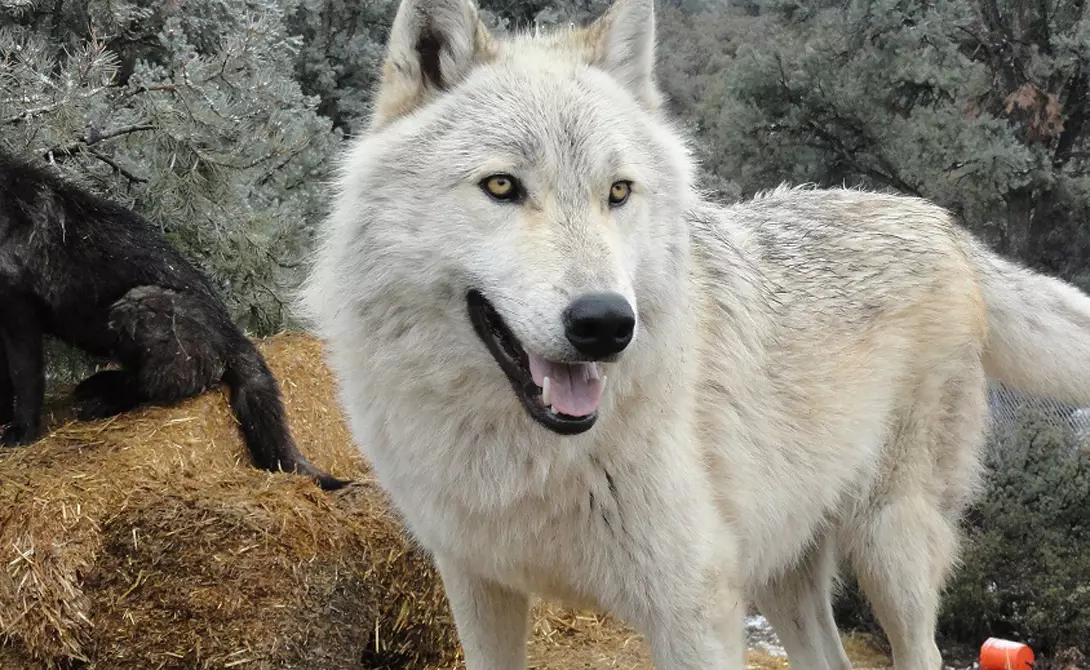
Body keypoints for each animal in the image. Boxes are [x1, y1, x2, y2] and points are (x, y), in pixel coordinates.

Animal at [0, 152, 346, 490]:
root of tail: (232, 334)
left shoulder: (19, 316)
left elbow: (25, 380)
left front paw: (21, 432)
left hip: (137, 303)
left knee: (163, 382)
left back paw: (107, 400)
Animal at [298, 1, 1090, 670]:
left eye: (618, 192)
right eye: (501, 187)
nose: (606, 324)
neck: (529, 460)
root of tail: (942, 223)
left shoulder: (695, 611)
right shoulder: (477, 587)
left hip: (890, 548)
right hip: (784, 570)